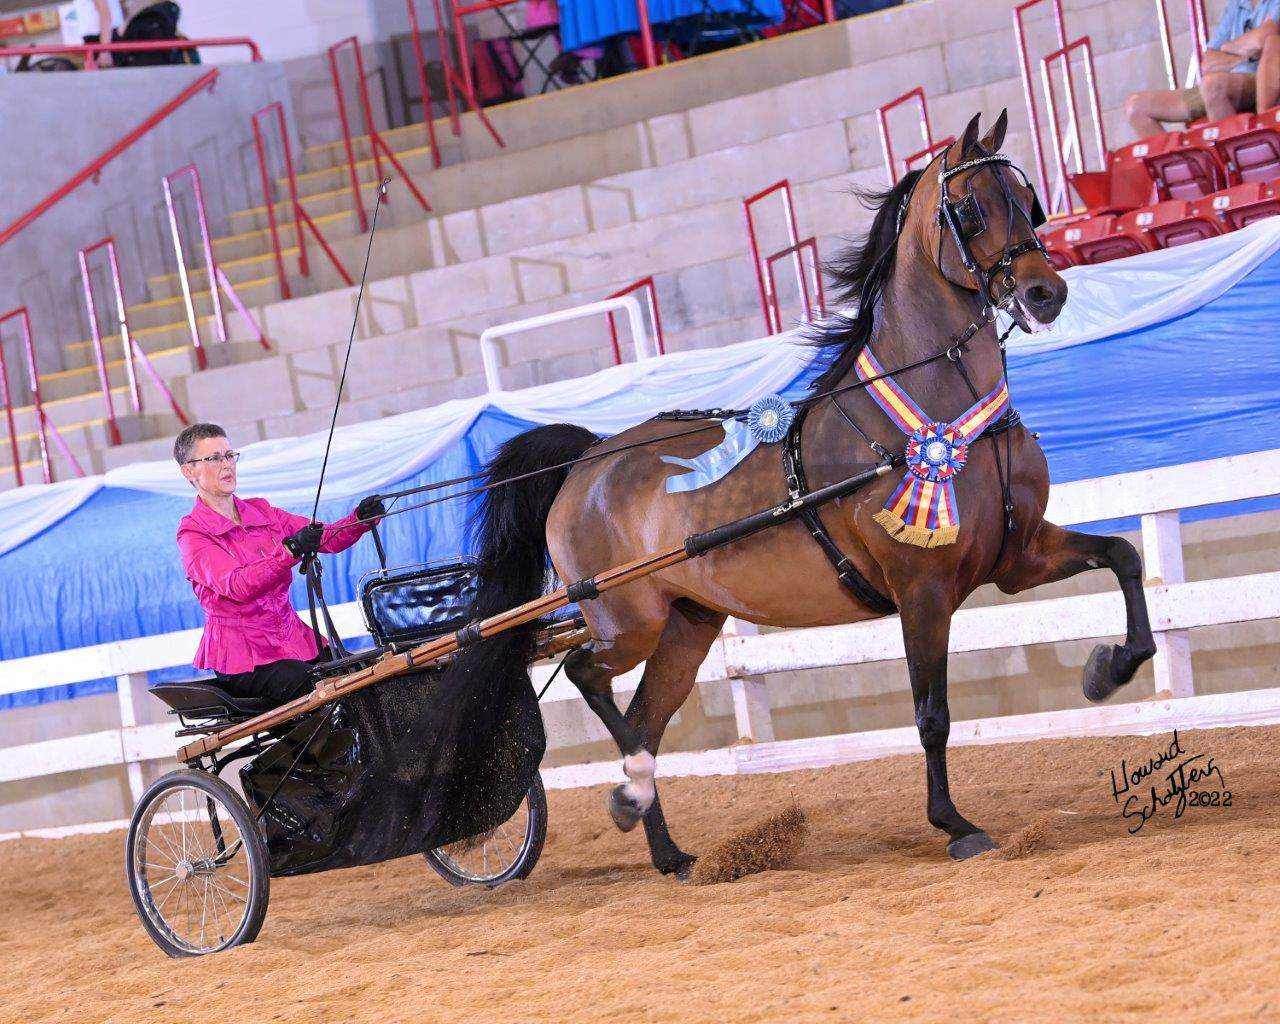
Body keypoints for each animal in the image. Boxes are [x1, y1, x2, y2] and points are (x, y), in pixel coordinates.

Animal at [453, 110, 1157, 877]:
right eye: (971, 208)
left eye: (1028, 200)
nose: (1045, 294)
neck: (934, 410)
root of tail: (588, 461)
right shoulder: (923, 589)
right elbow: (932, 715)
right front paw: (955, 824)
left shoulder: (1017, 556)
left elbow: (1123, 556)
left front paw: (1109, 669)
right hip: (627, 619)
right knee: (589, 676)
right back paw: (632, 790)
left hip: (687, 625)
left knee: (644, 718)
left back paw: (667, 849)